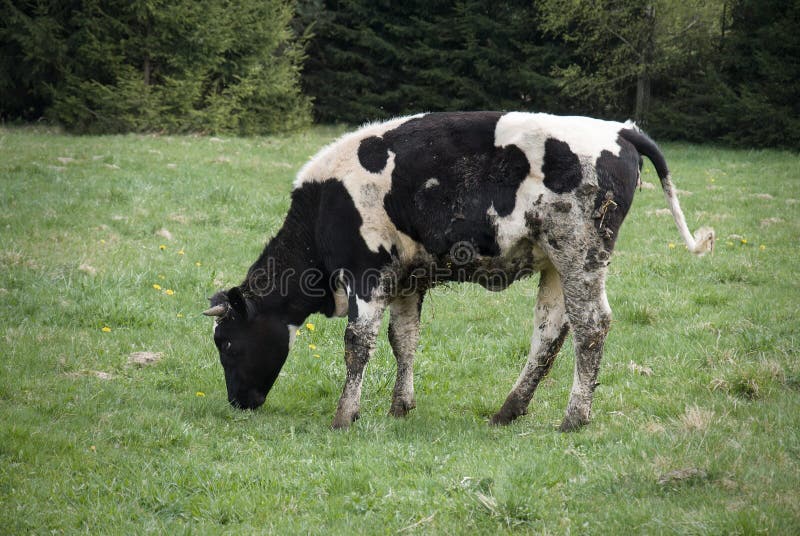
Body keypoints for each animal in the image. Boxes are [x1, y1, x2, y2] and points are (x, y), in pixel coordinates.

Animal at [203, 112, 714, 431]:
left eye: (226, 343)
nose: (237, 403)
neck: (323, 209)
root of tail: (622, 129)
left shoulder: (366, 272)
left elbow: (357, 344)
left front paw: (345, 415)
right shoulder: (406, 279)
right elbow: (403, 340)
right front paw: (400, 406)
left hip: (581, 251)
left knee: (591, 326)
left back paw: (573, 417)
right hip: (555, 263)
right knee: (549, 332)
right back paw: (509, 410)